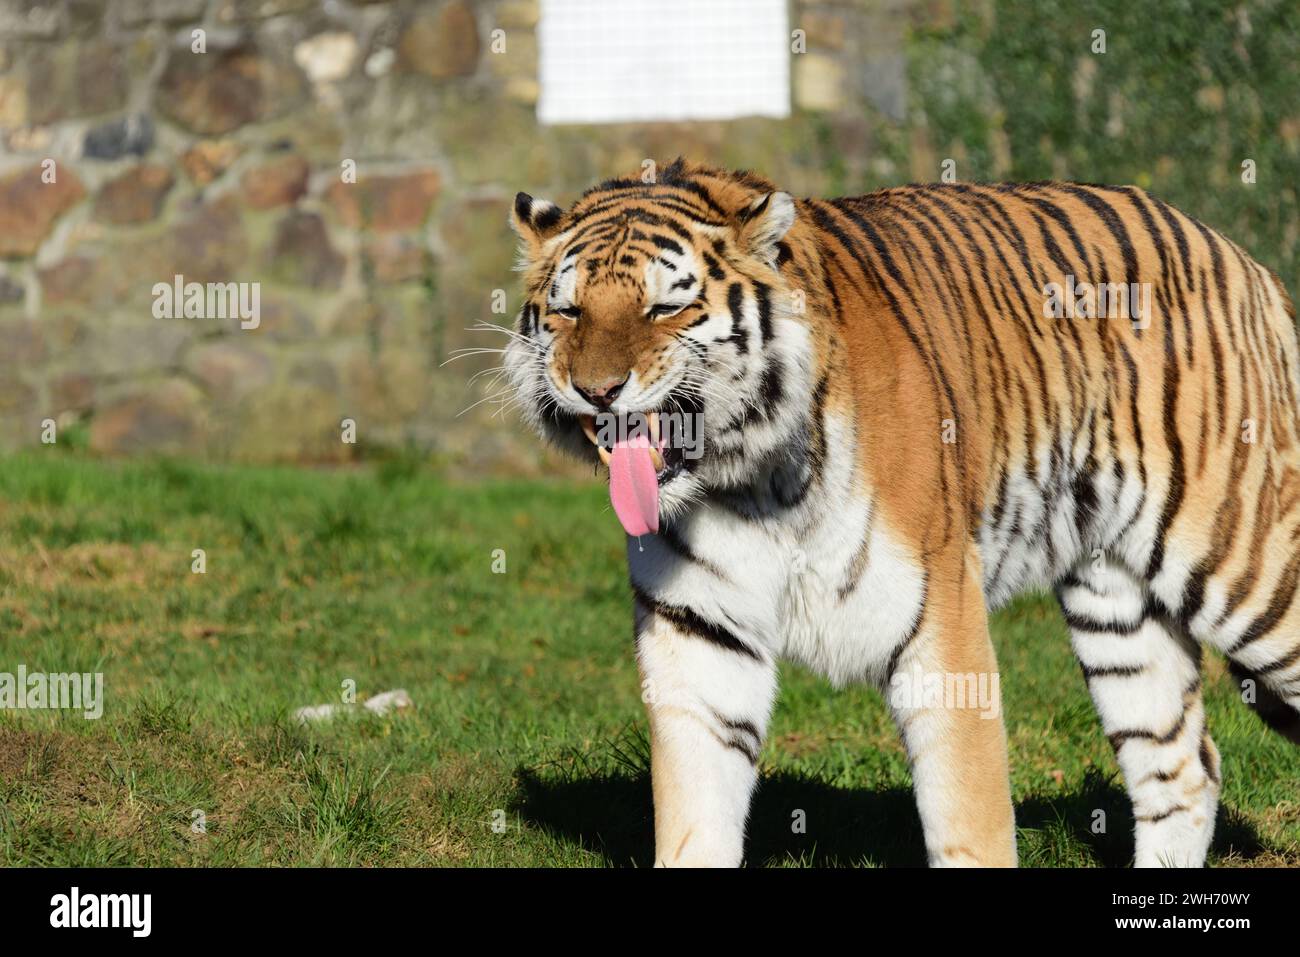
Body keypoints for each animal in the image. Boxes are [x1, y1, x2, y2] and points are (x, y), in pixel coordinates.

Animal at [501, 157, 1300, 867]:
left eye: (667, 306)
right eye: (568, 310)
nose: (597, 389)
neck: (746, 477)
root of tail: (1241, 258)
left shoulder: (941, 619)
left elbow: (968, 819)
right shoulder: (699, 633)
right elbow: (696, 821)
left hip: (1250, 570)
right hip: (1116, 604)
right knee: (1184, 769)